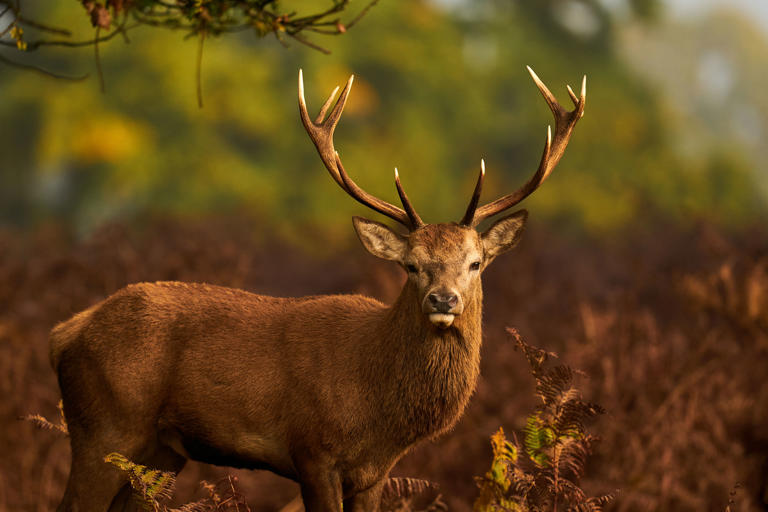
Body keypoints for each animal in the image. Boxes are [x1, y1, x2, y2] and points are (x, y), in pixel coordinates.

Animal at [50, 67, 585, 512]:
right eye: (411, 265)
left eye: (475, 263)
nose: (443, 300)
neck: (377, 407)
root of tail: (64, 333)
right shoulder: (312, 450)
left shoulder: (374, 474)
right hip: (103, 428)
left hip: (159, 452)